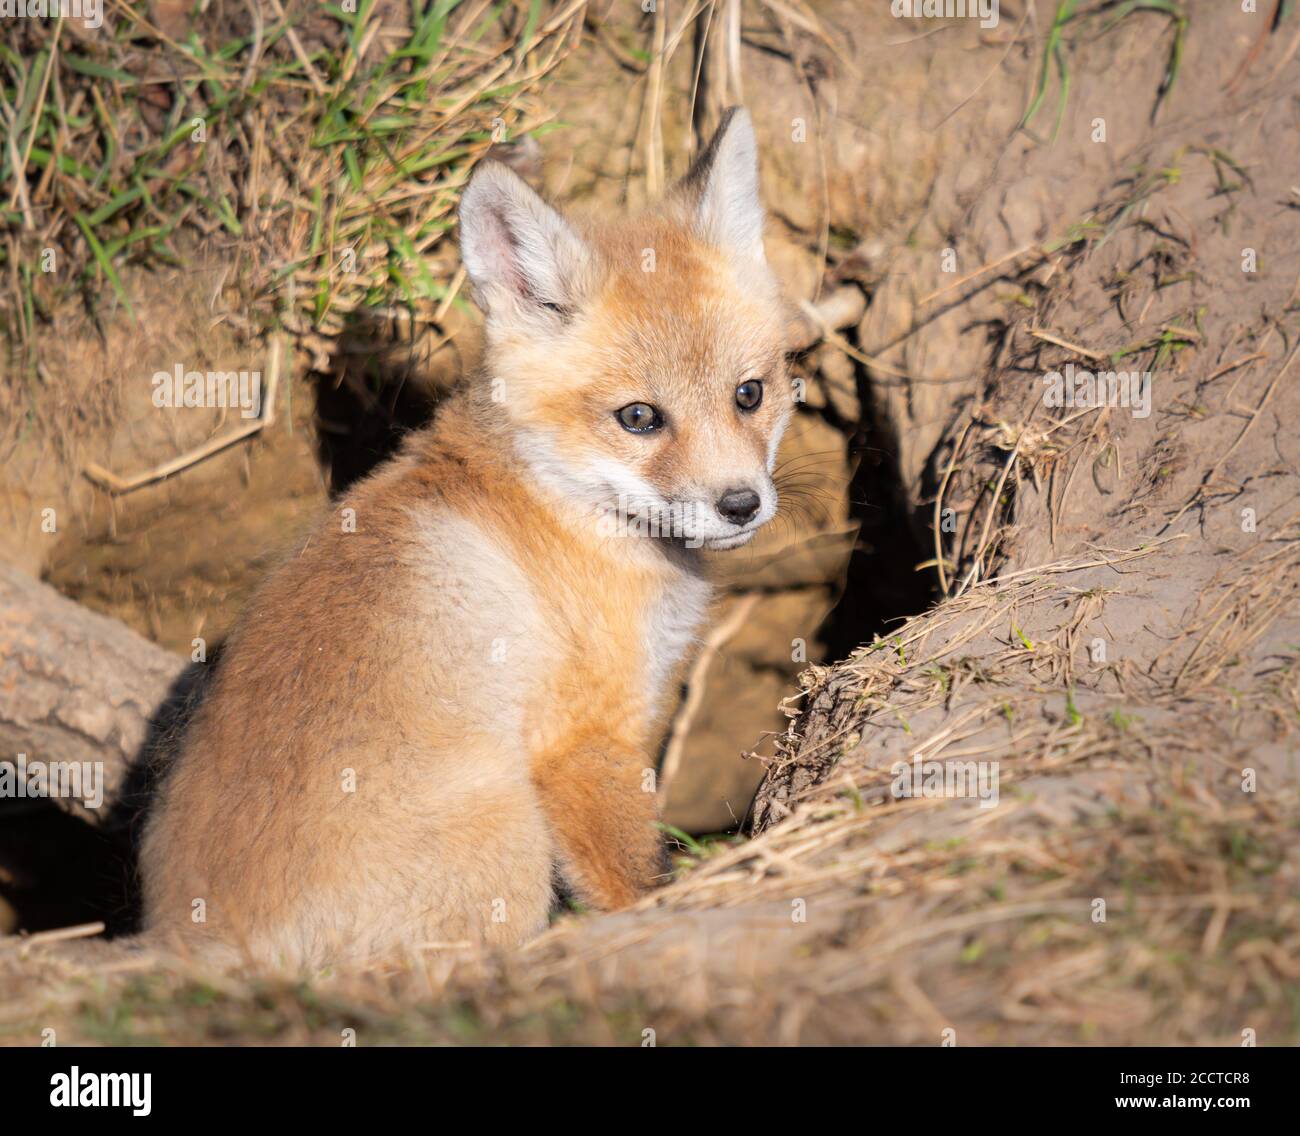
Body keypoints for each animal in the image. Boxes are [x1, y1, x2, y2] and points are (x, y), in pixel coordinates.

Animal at [138, 107, 793, 969]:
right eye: (639, 417)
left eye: (749, 394)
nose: (741, 504)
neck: (559, 496)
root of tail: (198, 947)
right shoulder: (582, 741)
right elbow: (635, 880)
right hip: (509, 833)